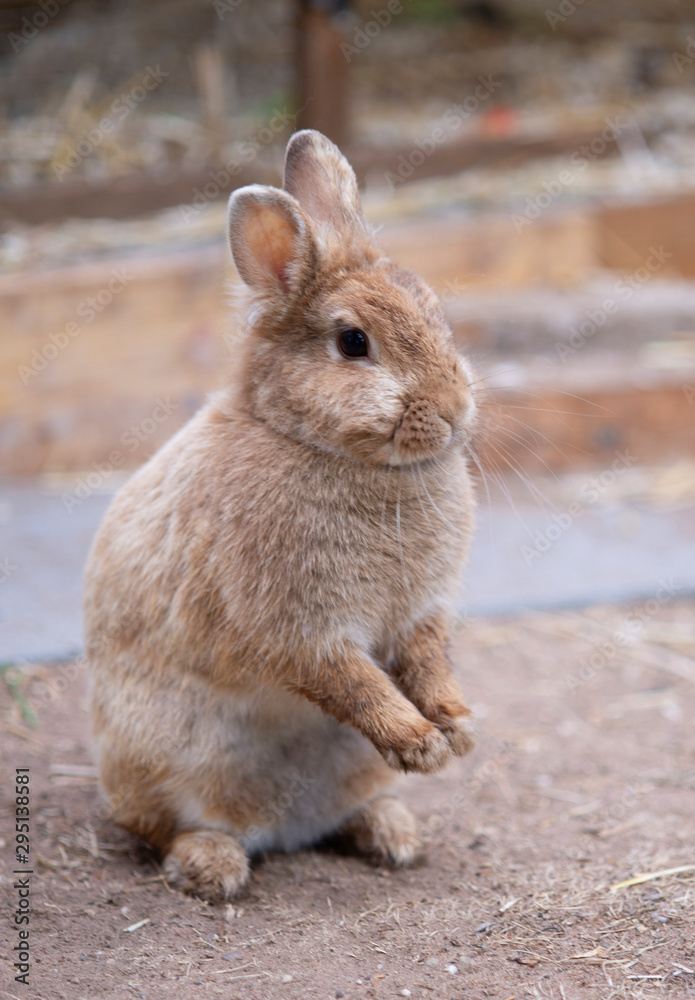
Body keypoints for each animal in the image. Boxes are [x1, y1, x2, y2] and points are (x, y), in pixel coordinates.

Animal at [84, 129, 478, 903]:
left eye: (432, 309)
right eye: (353, 342)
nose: (454, 412)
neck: (315, 443)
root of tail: (280, 829)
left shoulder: (420, 616)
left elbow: (428, 662)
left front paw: (457, 729)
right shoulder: (297, 628)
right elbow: (352, 681)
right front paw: (421, 743)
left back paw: (391, 832)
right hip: (162, 759)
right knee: (164, 829)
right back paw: (214, 865)